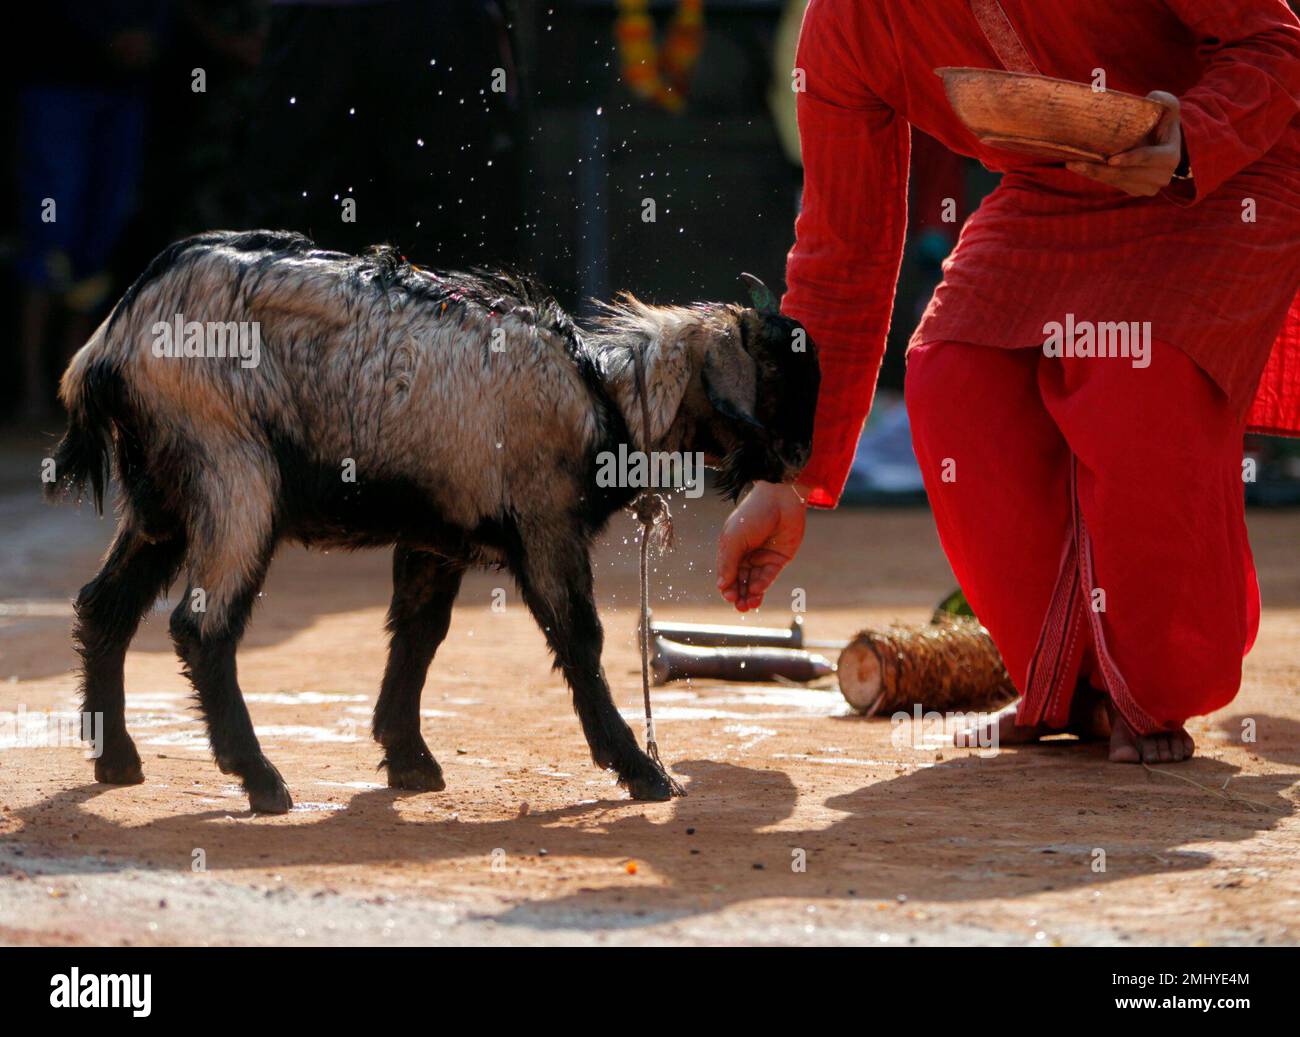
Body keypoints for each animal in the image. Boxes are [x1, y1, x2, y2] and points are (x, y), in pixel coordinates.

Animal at [47, 230, 820, 812]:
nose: (806, 461)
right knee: (201, 626)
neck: (601, 393)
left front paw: (408, 757)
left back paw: (117, 759)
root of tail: (111, 340)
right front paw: (641, 769)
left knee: (104, 606)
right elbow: (579, 637)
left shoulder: (437, 536)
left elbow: (419, 634)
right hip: (233, 474)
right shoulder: (544, 525)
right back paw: (260, 780)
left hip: (165, 499)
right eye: (779, 377)